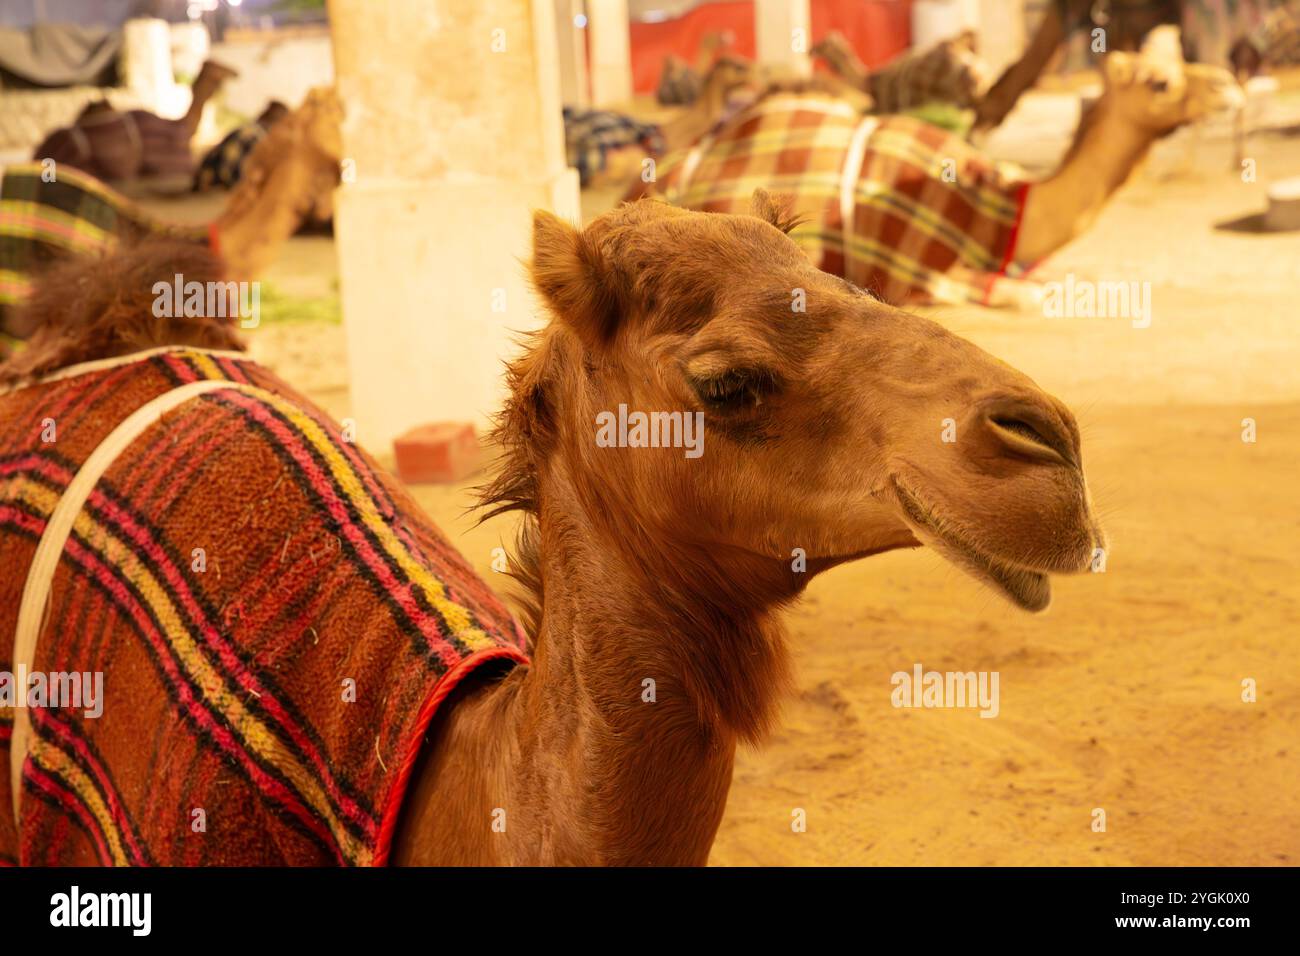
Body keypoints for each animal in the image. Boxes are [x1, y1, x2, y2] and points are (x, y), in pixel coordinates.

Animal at [629, 40, 1242, 306]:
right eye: (1159, 82)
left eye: (1182, 59)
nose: (1228, 85)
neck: (1010, 210)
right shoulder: (922, 274)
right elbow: (1024, 296)